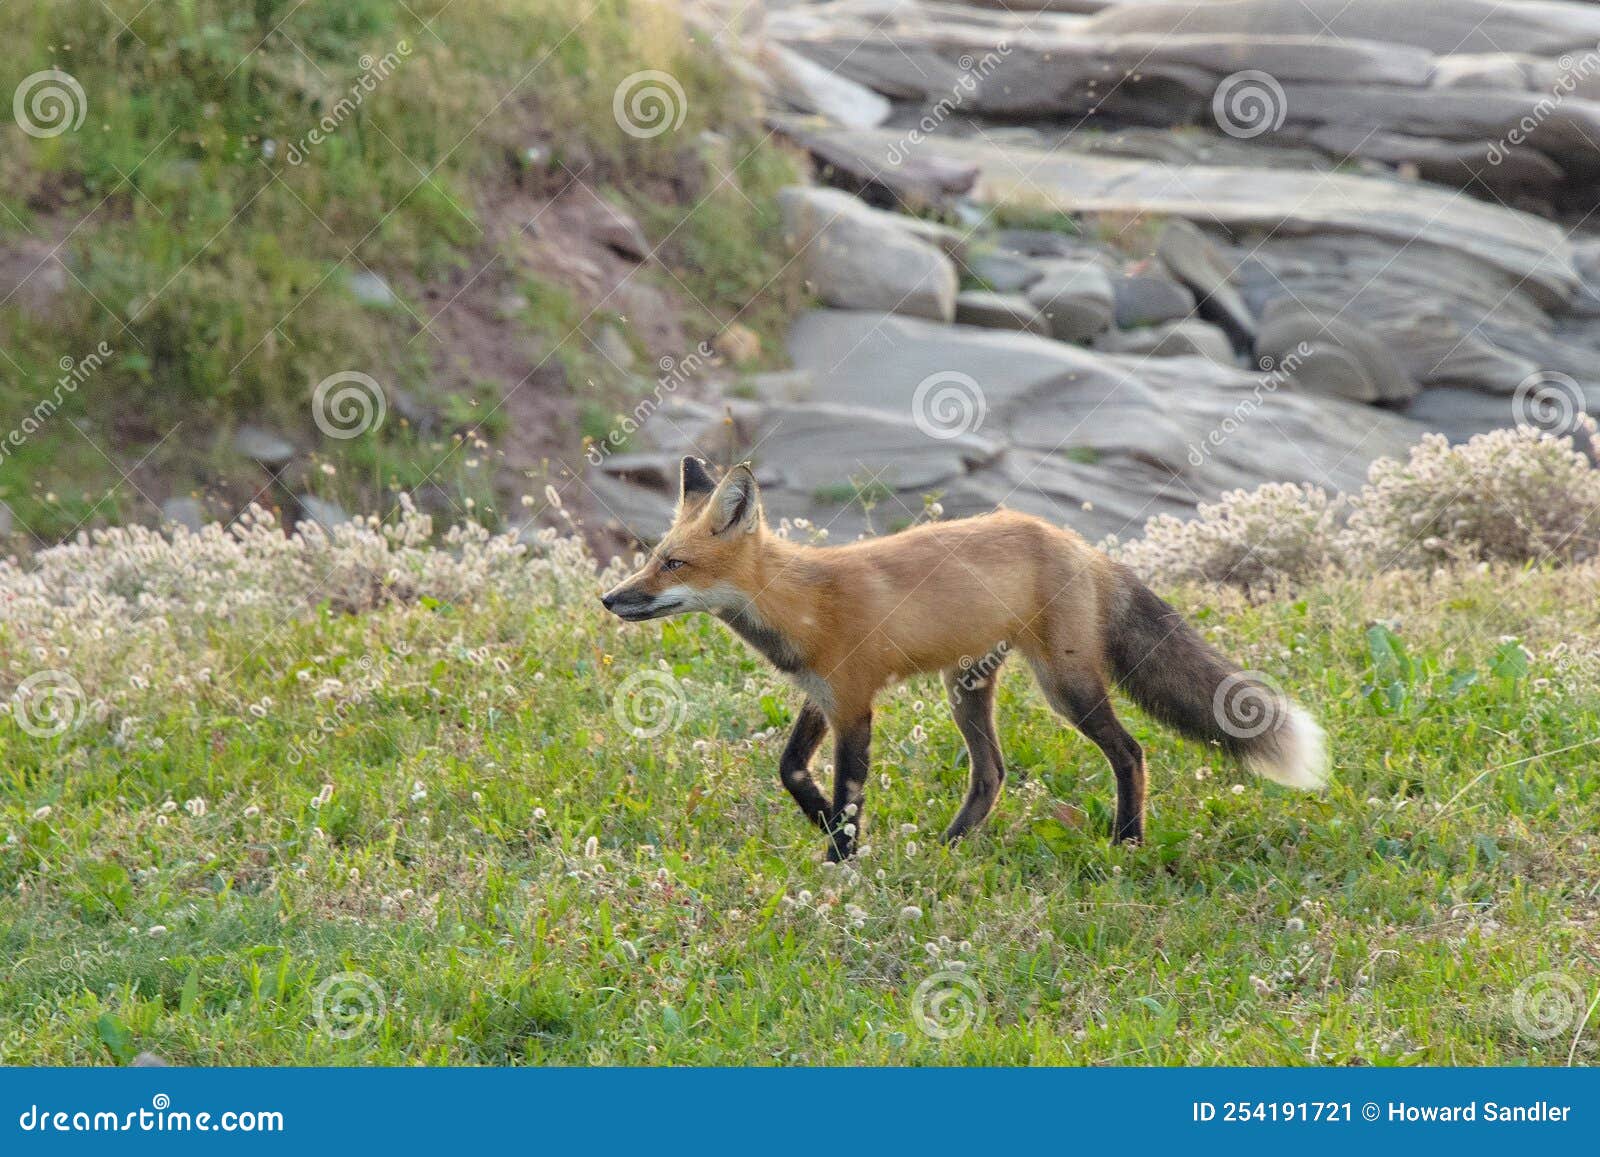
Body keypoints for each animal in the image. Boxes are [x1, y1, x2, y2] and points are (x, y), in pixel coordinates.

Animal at [601, 456, 1329, 860]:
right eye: (651, 556)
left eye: (672, 563)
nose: (610, 598)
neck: (803, 601)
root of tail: (1078, 543)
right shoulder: (821, 695)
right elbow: (790, 771)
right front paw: (825, 827)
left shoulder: (855, 703)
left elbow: (849, 791)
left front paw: (841, 859)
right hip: (967, 689)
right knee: (992, 772)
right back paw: (950, 847)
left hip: (1066, 684)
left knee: (1130, 751)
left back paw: (1126, 841)